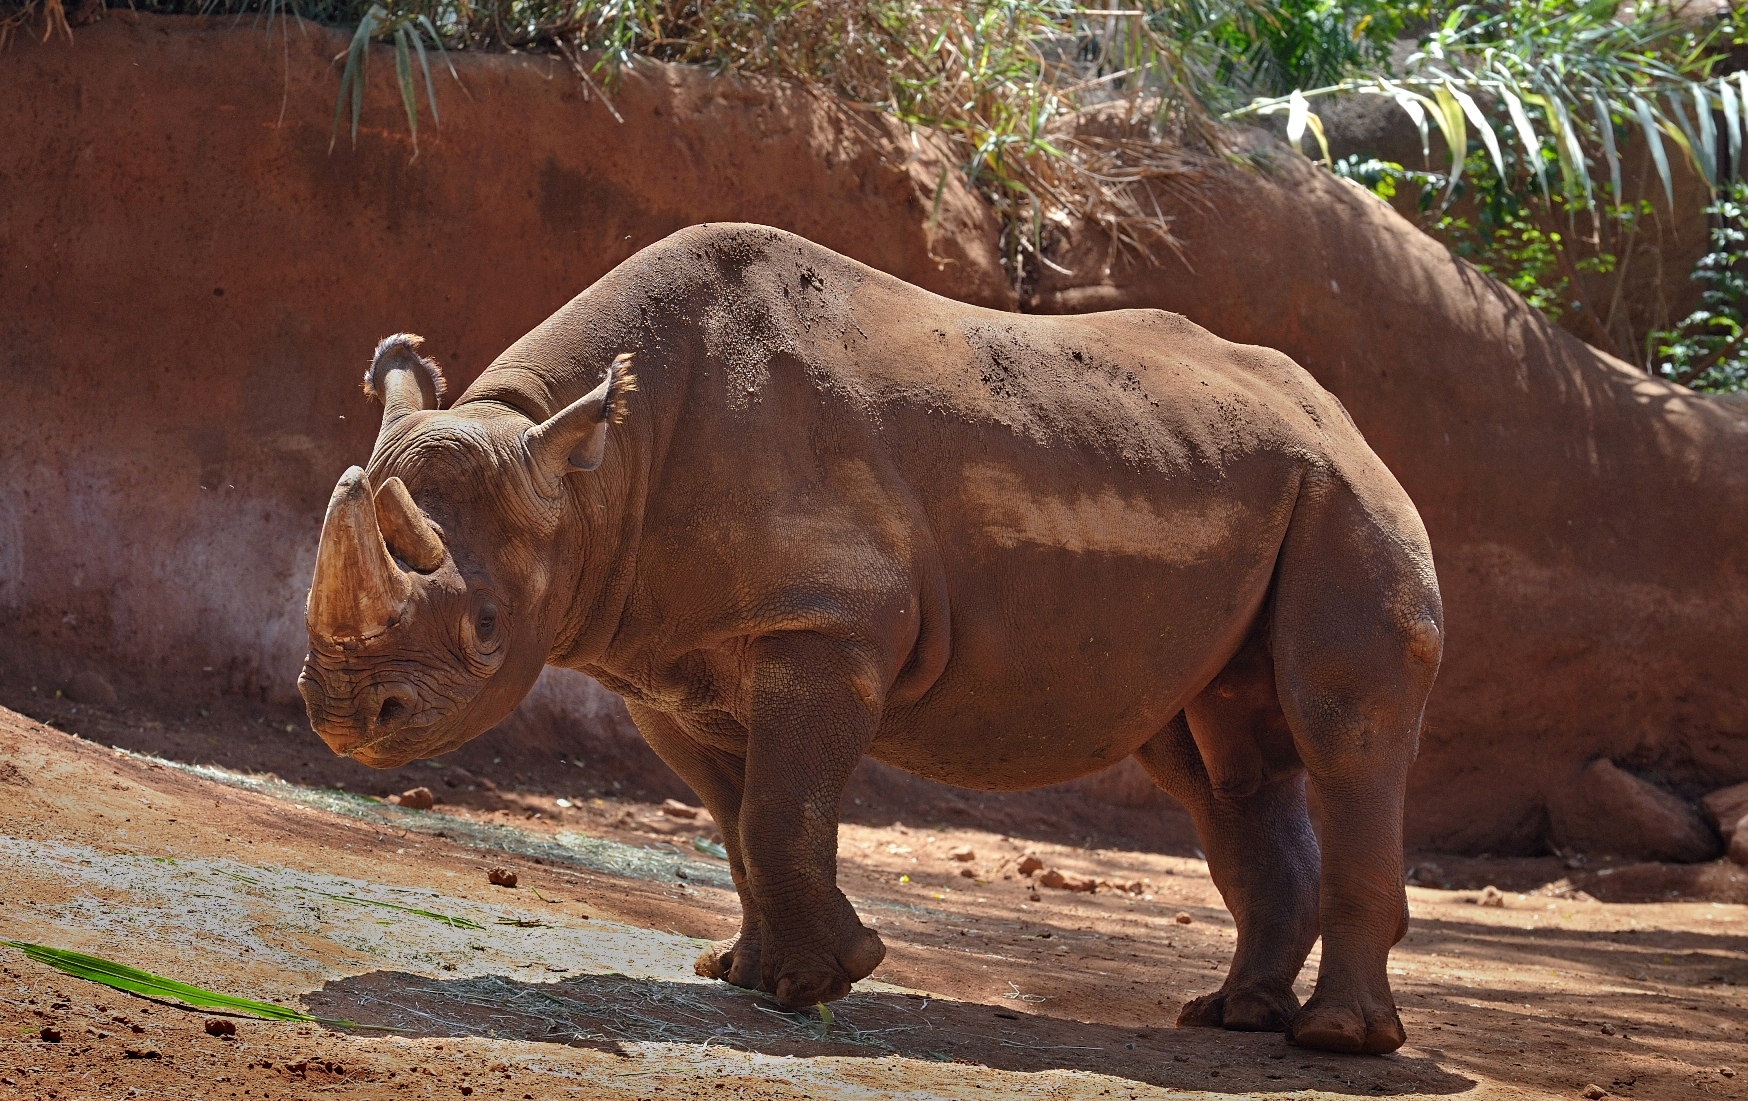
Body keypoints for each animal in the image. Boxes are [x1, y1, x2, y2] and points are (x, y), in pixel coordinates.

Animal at [298, 223, 1441, 1055]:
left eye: (486, 627)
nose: (343, 716)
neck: (587, 476)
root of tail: (1341, 415)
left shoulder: (826, 624)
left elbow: (779, 811)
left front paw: (827, 977)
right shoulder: (668, 668)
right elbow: (736, 823)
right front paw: (745, 976)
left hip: (1348, 498)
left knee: (1342, 731)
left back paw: (1336, 1042)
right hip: (1250, 480)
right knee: (1216, 767)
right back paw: (1233, 1017)